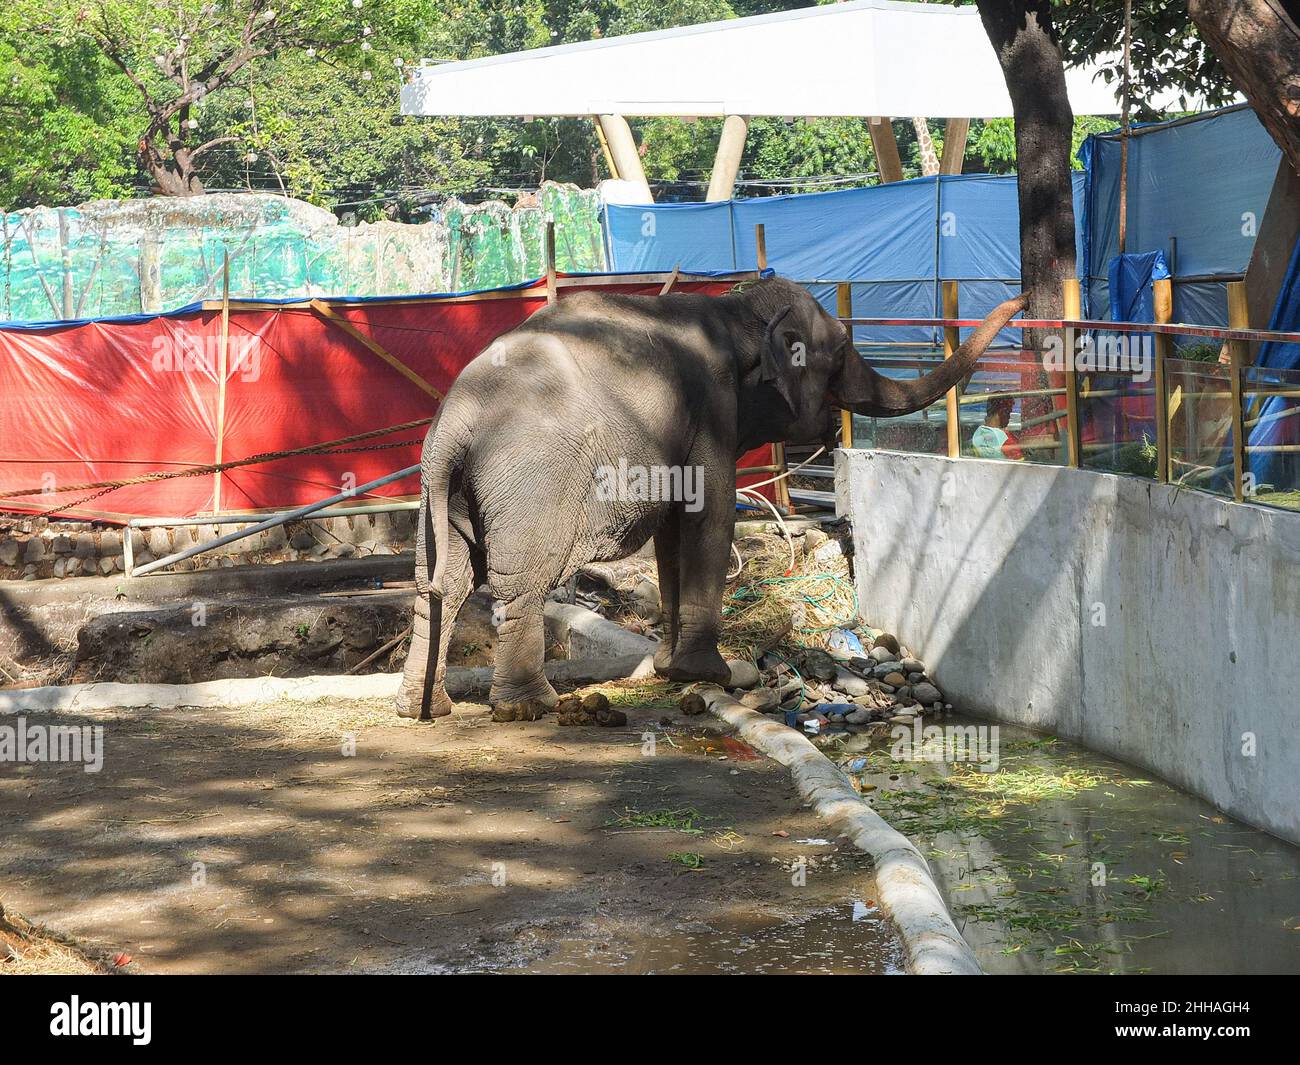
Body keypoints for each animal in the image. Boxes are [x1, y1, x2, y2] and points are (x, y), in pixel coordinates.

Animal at [394, 276, 1025, 721]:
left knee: (439, 585)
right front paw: (714, 676)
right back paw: (529, 706)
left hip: (438, 489)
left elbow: (675, 532)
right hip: (531, 485)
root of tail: (455, 424)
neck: (734, 309)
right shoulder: (712, 407)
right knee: (519, 583)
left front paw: (672, 668)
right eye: (843, 350)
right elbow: (708, 518)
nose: (1020, 299)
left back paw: (424, 707)